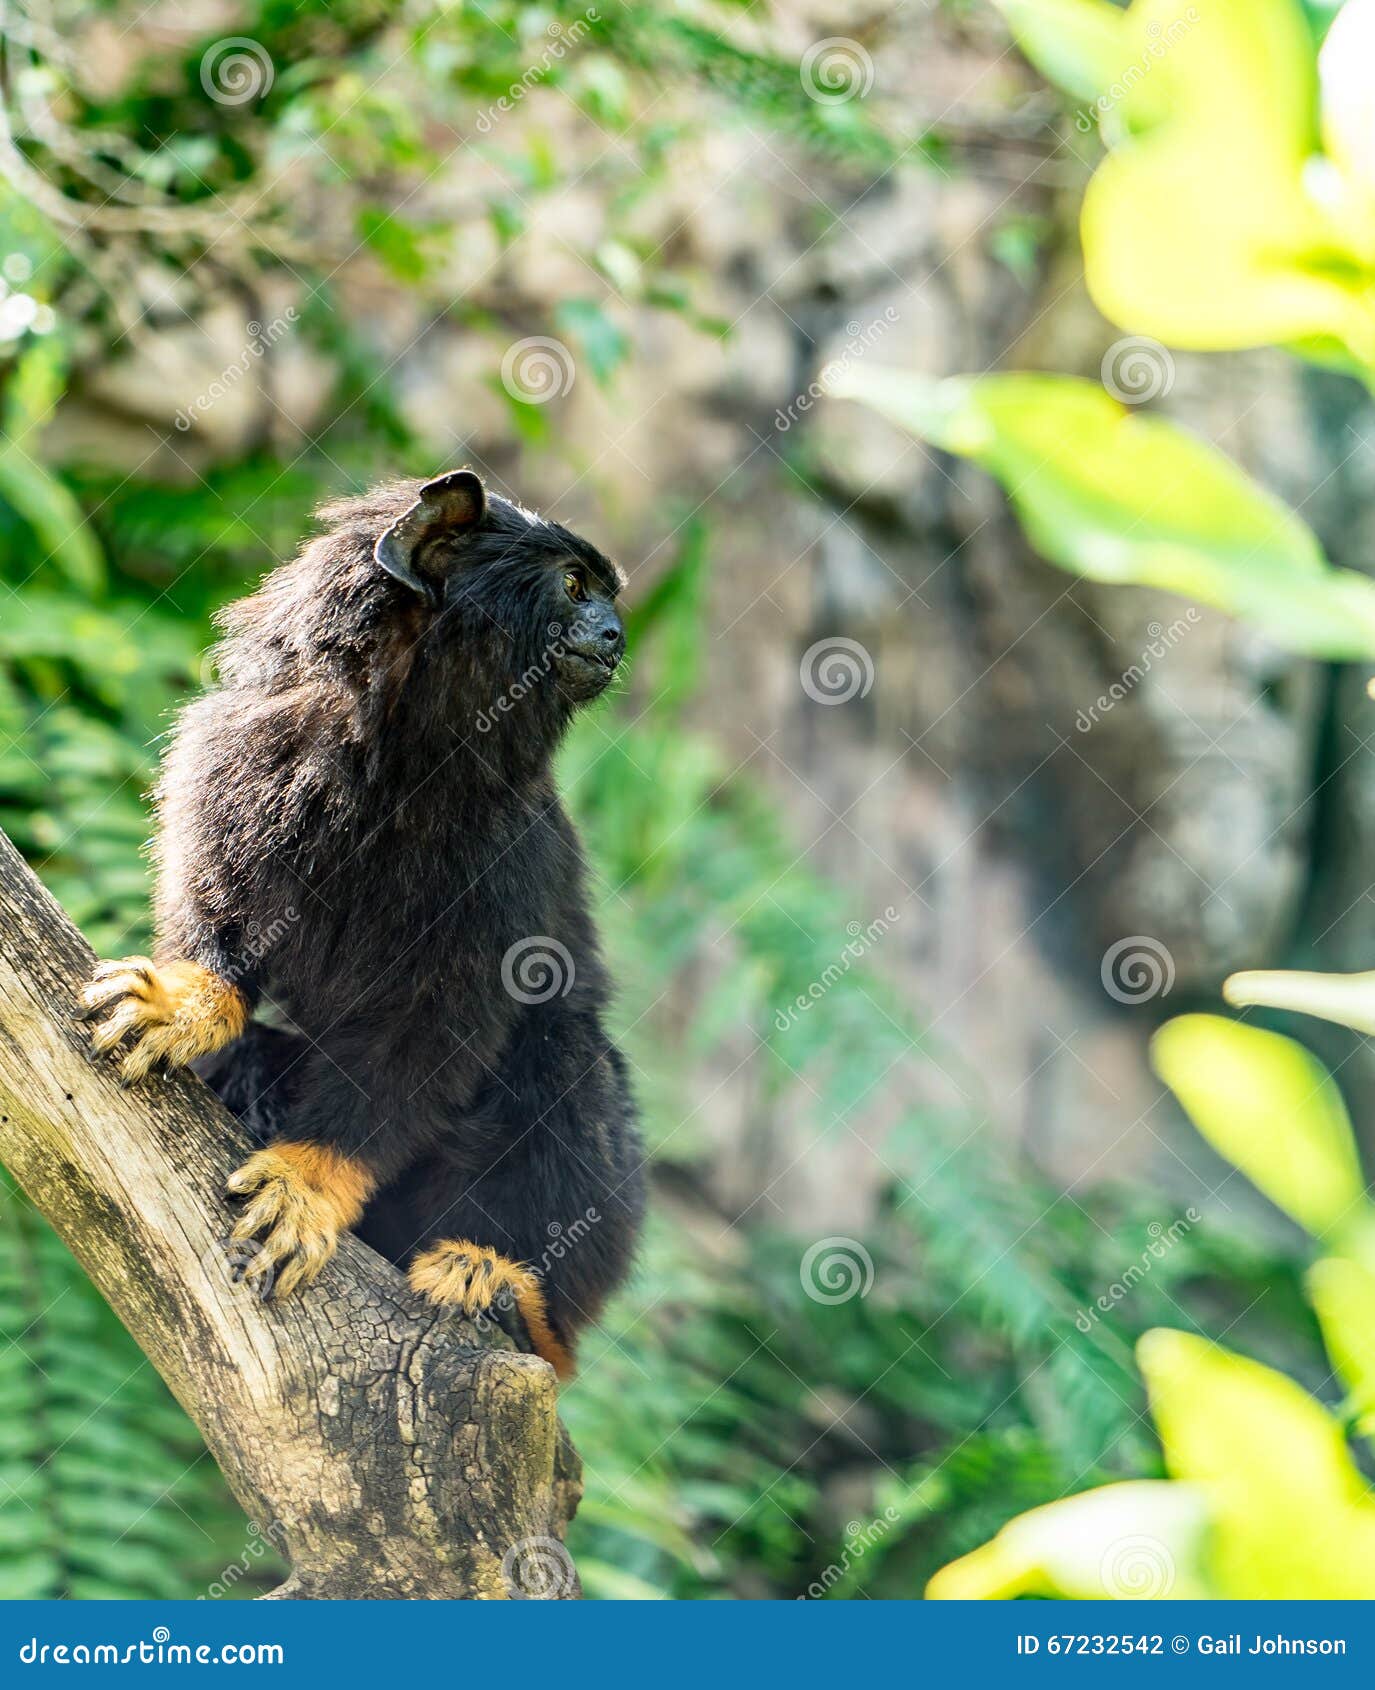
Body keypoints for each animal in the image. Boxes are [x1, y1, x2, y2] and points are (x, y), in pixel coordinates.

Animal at [79, 470, 645, 1379]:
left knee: (566, 1055)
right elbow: (222, 915)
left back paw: (504, 1284)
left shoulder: (511, 856)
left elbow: (433, 1032)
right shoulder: (238, 752)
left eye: (604, 597)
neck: (406, 758)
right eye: (572, 587)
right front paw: (189, 998)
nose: (616, 635)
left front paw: (311, 1180)